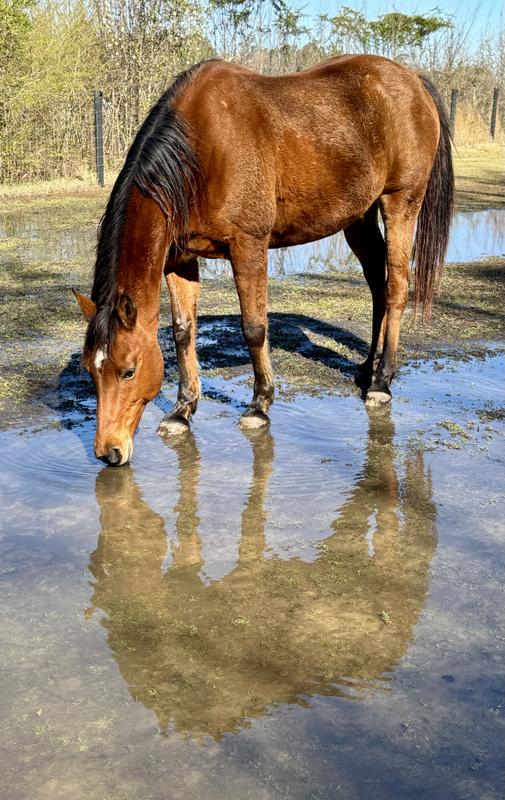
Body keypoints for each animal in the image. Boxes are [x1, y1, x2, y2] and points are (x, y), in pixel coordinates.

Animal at [73, 55, 453, 465]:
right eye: (90, 370)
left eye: (128, 371)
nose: (108, 452)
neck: (198, 152)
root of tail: (413, 81)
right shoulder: (180, 259)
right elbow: (182, 332)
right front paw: (182, 410)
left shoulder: (248, 245)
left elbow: (254, 328)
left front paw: (259, 404)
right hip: (360, 217)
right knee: (378, 287)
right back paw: (367, 370)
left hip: (401, 203)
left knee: (396, 288)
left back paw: (382, 382)